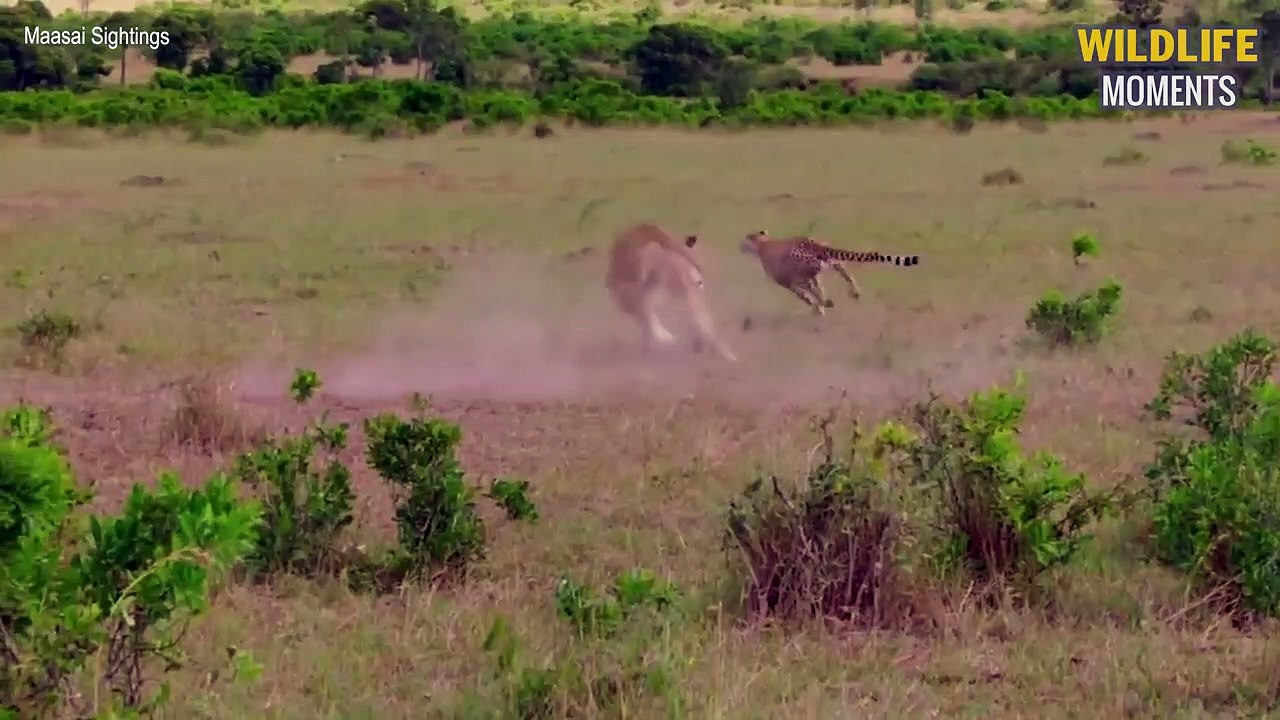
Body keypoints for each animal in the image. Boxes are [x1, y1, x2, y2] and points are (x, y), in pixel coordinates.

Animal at [740, 230, 920, 315]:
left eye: (744, 241)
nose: (740, 247)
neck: (763, 244)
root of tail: (813, 243)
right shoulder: (799, 279)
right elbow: (814, 289)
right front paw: (819, 306)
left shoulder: (789, 282)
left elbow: (805, 295)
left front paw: (818, 307)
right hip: (830, 261)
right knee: (842, 270)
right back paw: (855, 292)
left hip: (809, 266)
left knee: (817, 279)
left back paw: (827, 301)